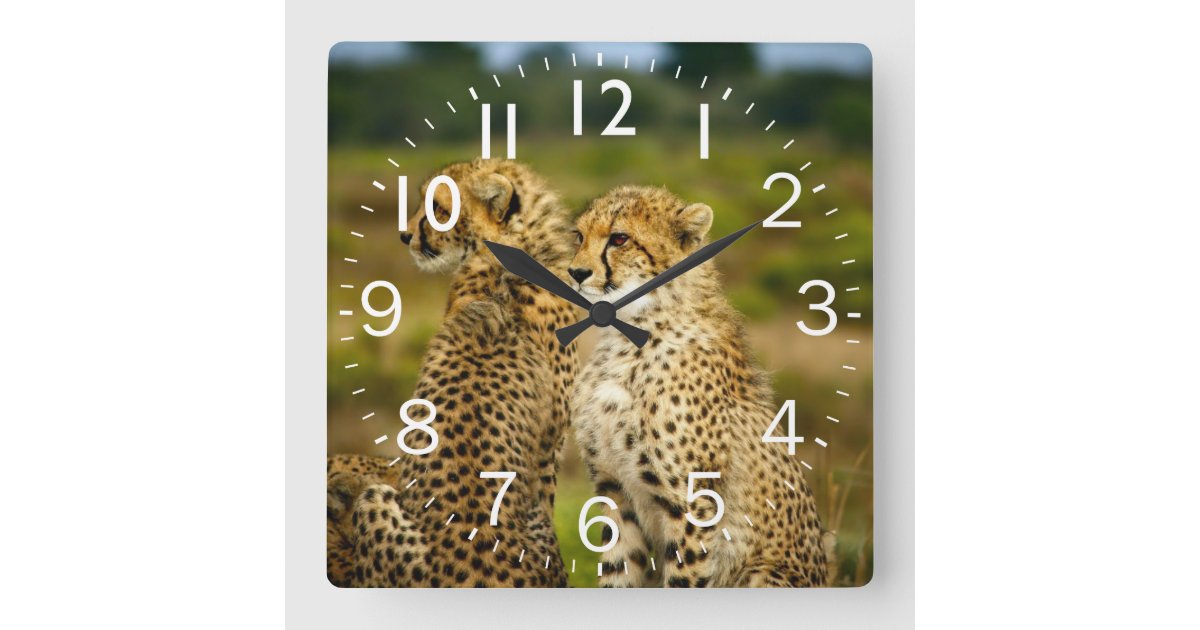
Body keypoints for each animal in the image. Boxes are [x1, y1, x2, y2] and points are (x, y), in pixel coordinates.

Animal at [565, 185, 835, 588]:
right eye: (579, 236)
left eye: (619, 239)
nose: (576, 272)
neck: (628, 335)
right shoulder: (615, 491)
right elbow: (618, 572)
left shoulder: (692, 503)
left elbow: (683, 577)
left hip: (762, 574)